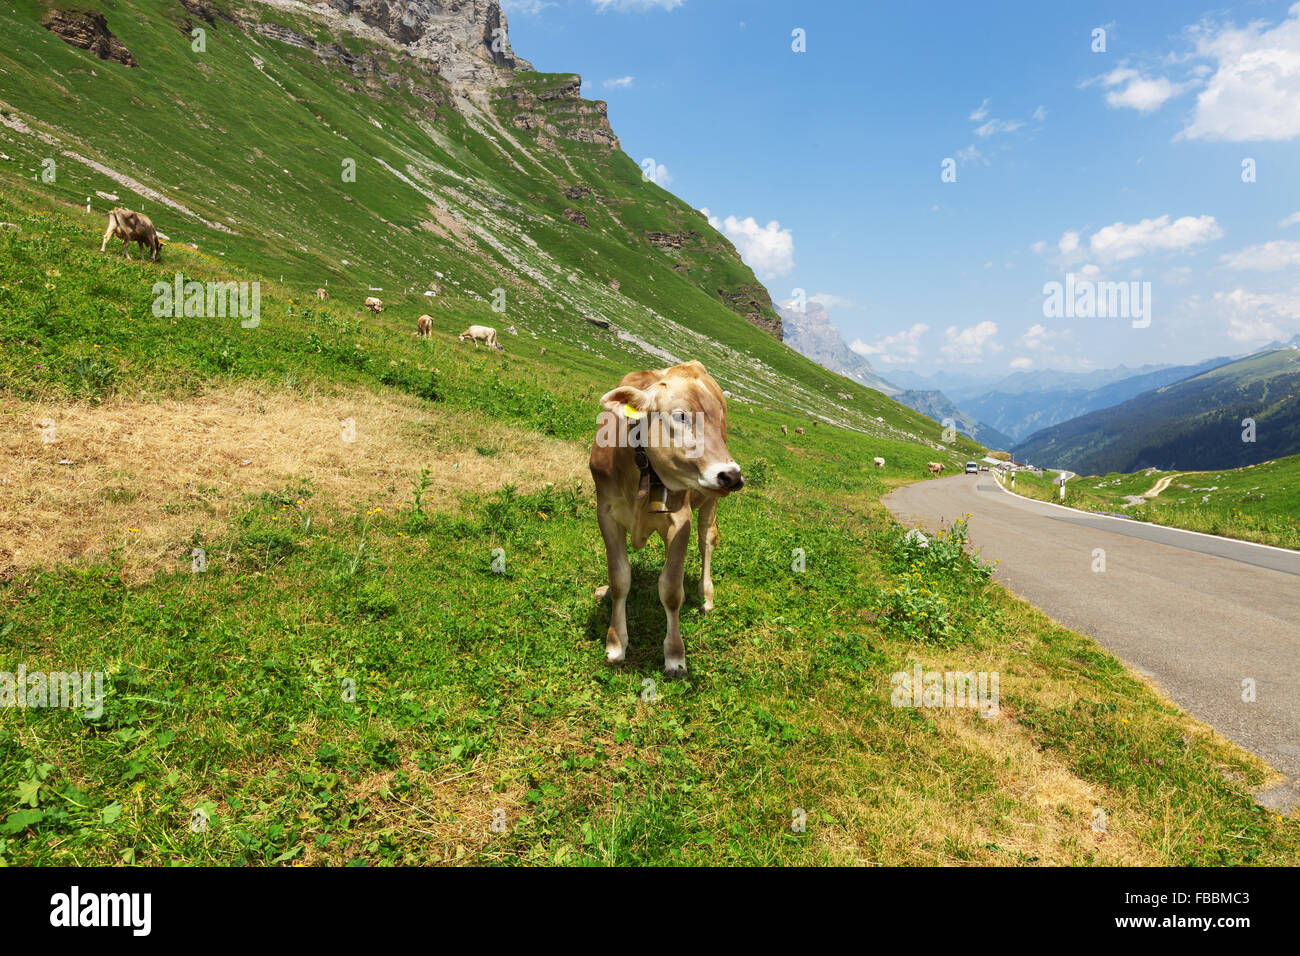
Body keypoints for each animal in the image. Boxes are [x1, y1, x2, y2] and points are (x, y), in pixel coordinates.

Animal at [590, 360, 743, 677]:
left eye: (718, 416)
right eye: (680, 415)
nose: (733, 475)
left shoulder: (680, 521)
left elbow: (671, 590)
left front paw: (674, 656)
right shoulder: (605, 513)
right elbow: (620, 577)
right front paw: (616, 643)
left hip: (710, 499)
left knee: (707, 538)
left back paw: (706, 596)